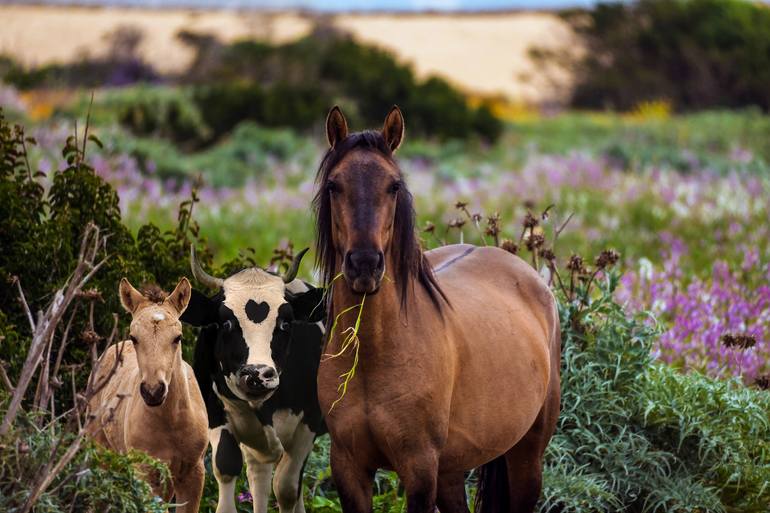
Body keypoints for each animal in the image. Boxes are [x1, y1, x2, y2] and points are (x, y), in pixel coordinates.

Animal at [88, 277, 208, 512]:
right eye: (134, 337)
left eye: (177, 337)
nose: (153, 391)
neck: (172, 421)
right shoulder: (145, 473)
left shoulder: (193, 473)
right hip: (101, 452)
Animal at [181, 247, 326, 513]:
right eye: (226, 322)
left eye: (285, 323)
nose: (258, 374)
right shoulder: (214, 414)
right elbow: (227, 465)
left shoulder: (310, 419)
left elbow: (286, 487)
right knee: (259, 475)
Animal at [312, 106, 561, 513]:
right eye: (334, 185)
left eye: (394, 186)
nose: (364, 265)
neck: (373, 357)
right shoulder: (348, 467)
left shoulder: (419, 468)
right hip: (451, 468)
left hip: (527, 455)